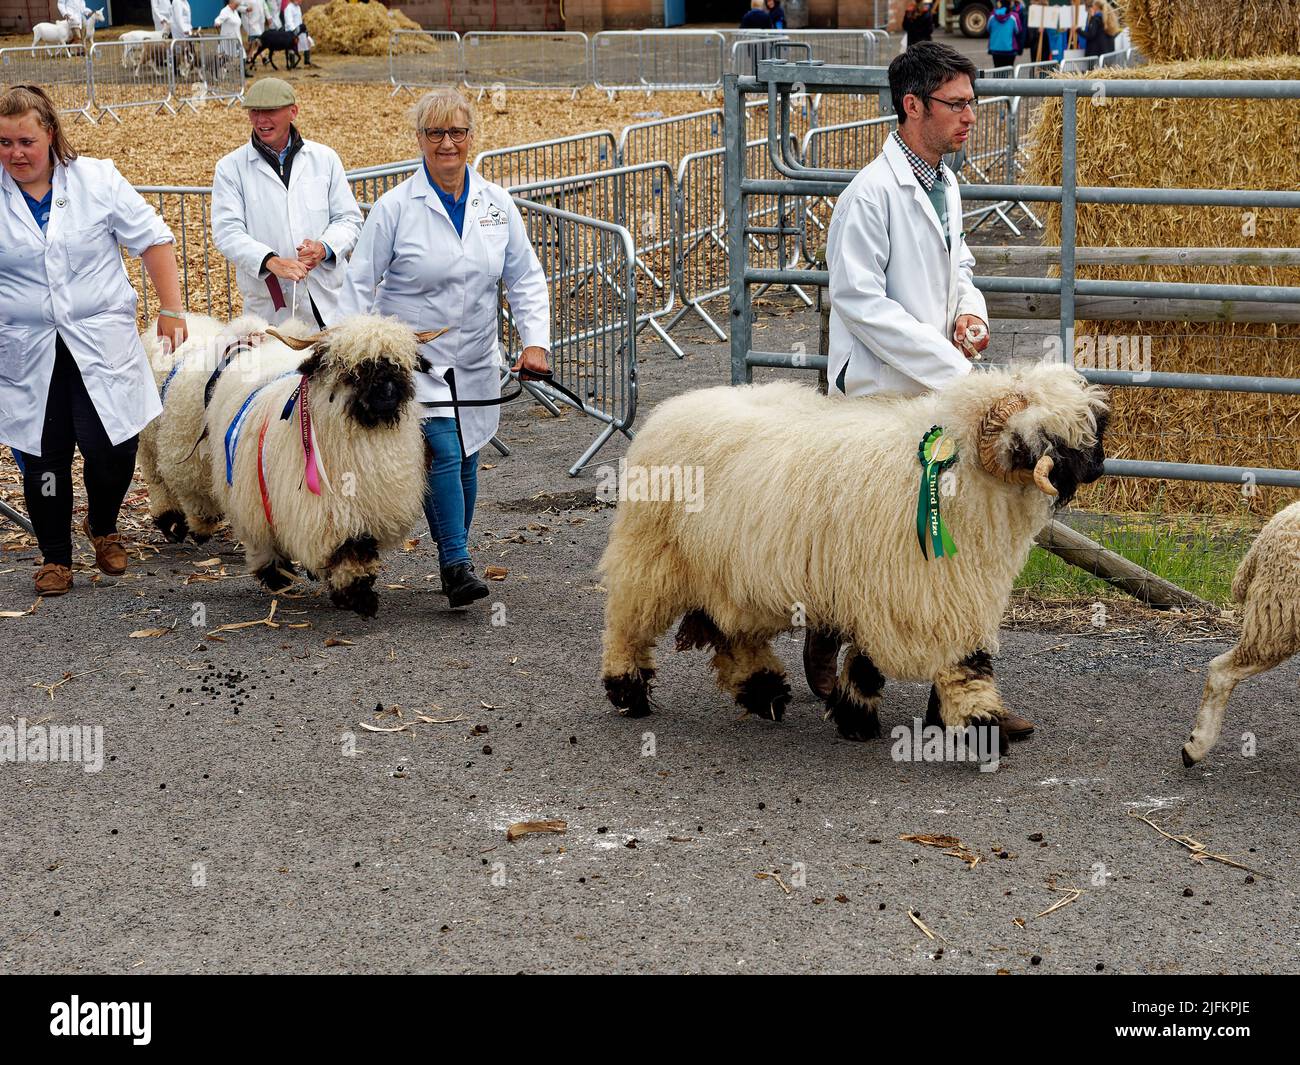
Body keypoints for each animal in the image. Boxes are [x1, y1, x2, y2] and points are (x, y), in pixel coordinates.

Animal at [204, 314, 444, 617]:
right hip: (250, 490)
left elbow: (362, 548)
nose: (389, 389)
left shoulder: (369, 507)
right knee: (261, 536)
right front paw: (357, 596)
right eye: (350, 366)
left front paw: (356, 594)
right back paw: (276, 575)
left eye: (400, 362)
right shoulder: (327, 511)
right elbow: (349, 548)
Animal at [598, 363, 1109, 752]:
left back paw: (764, 692)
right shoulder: (913, 590)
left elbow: (878, 661)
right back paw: (628, 692)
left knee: (733, 635)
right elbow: (957, 664)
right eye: (1055, 438)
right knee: (628, 625)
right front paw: (980, 727)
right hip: (652, 556)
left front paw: (856, 713)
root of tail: (670, 410)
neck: (956, 472)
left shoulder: (919, 589)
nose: (1101, 467)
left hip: (732, 572)